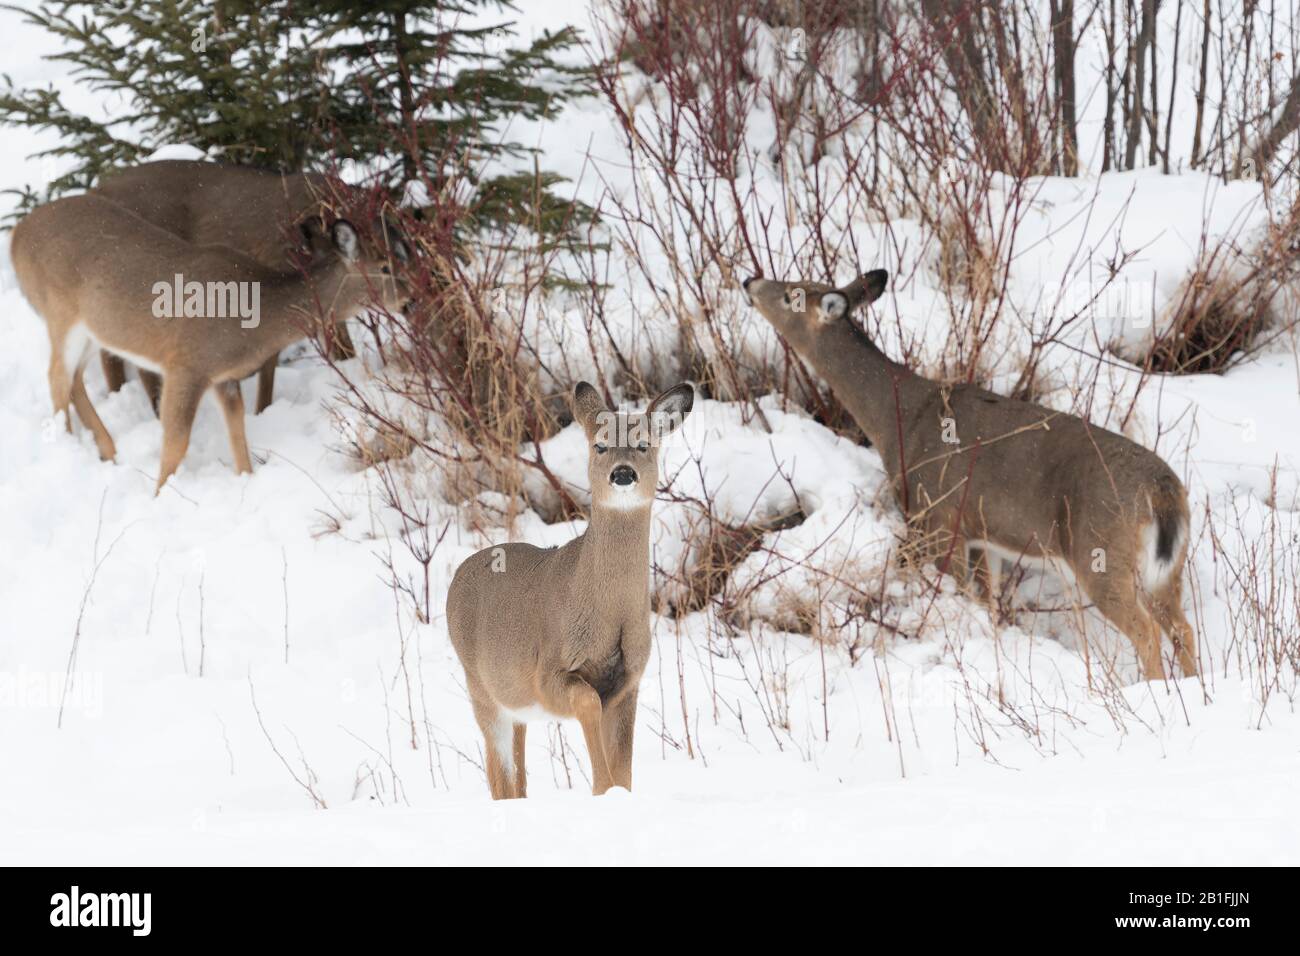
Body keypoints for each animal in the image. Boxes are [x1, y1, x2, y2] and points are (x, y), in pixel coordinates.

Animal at [11, 192, 409, 493]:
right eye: (386, 268)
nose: (410, 299)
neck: (258, 315)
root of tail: (15, 235)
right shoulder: (188, 362)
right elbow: (176, 442)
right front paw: (160, 498)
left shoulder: (224, 375)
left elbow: (237, 430)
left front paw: (246, 480)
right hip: (60, 312)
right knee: (57, 377)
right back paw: (68, 447)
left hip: (95, 328)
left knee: (74, 378)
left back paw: (109, 451)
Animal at [445, 381, 695, 799]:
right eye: (599, 445)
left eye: (644, 444)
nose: (623, 473)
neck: (611, 613)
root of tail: (456, 577)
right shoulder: (549, 671)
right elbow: (588, 702)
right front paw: (601, 788)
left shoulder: (628, 681)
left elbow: (625, 765)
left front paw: (616, 791)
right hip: (480, 687)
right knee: (500, 775)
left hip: (512, 704)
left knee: (516, 775)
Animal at [742, 270, 1197, 682]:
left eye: (789, 294)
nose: (749, 281)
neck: (899, 420)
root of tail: (1162, 490)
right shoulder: (983, 535)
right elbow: (987, 603)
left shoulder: (938, 516)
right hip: (1167, 570)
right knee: (1182, 627)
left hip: (1099, 548)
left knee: (1147, 631)